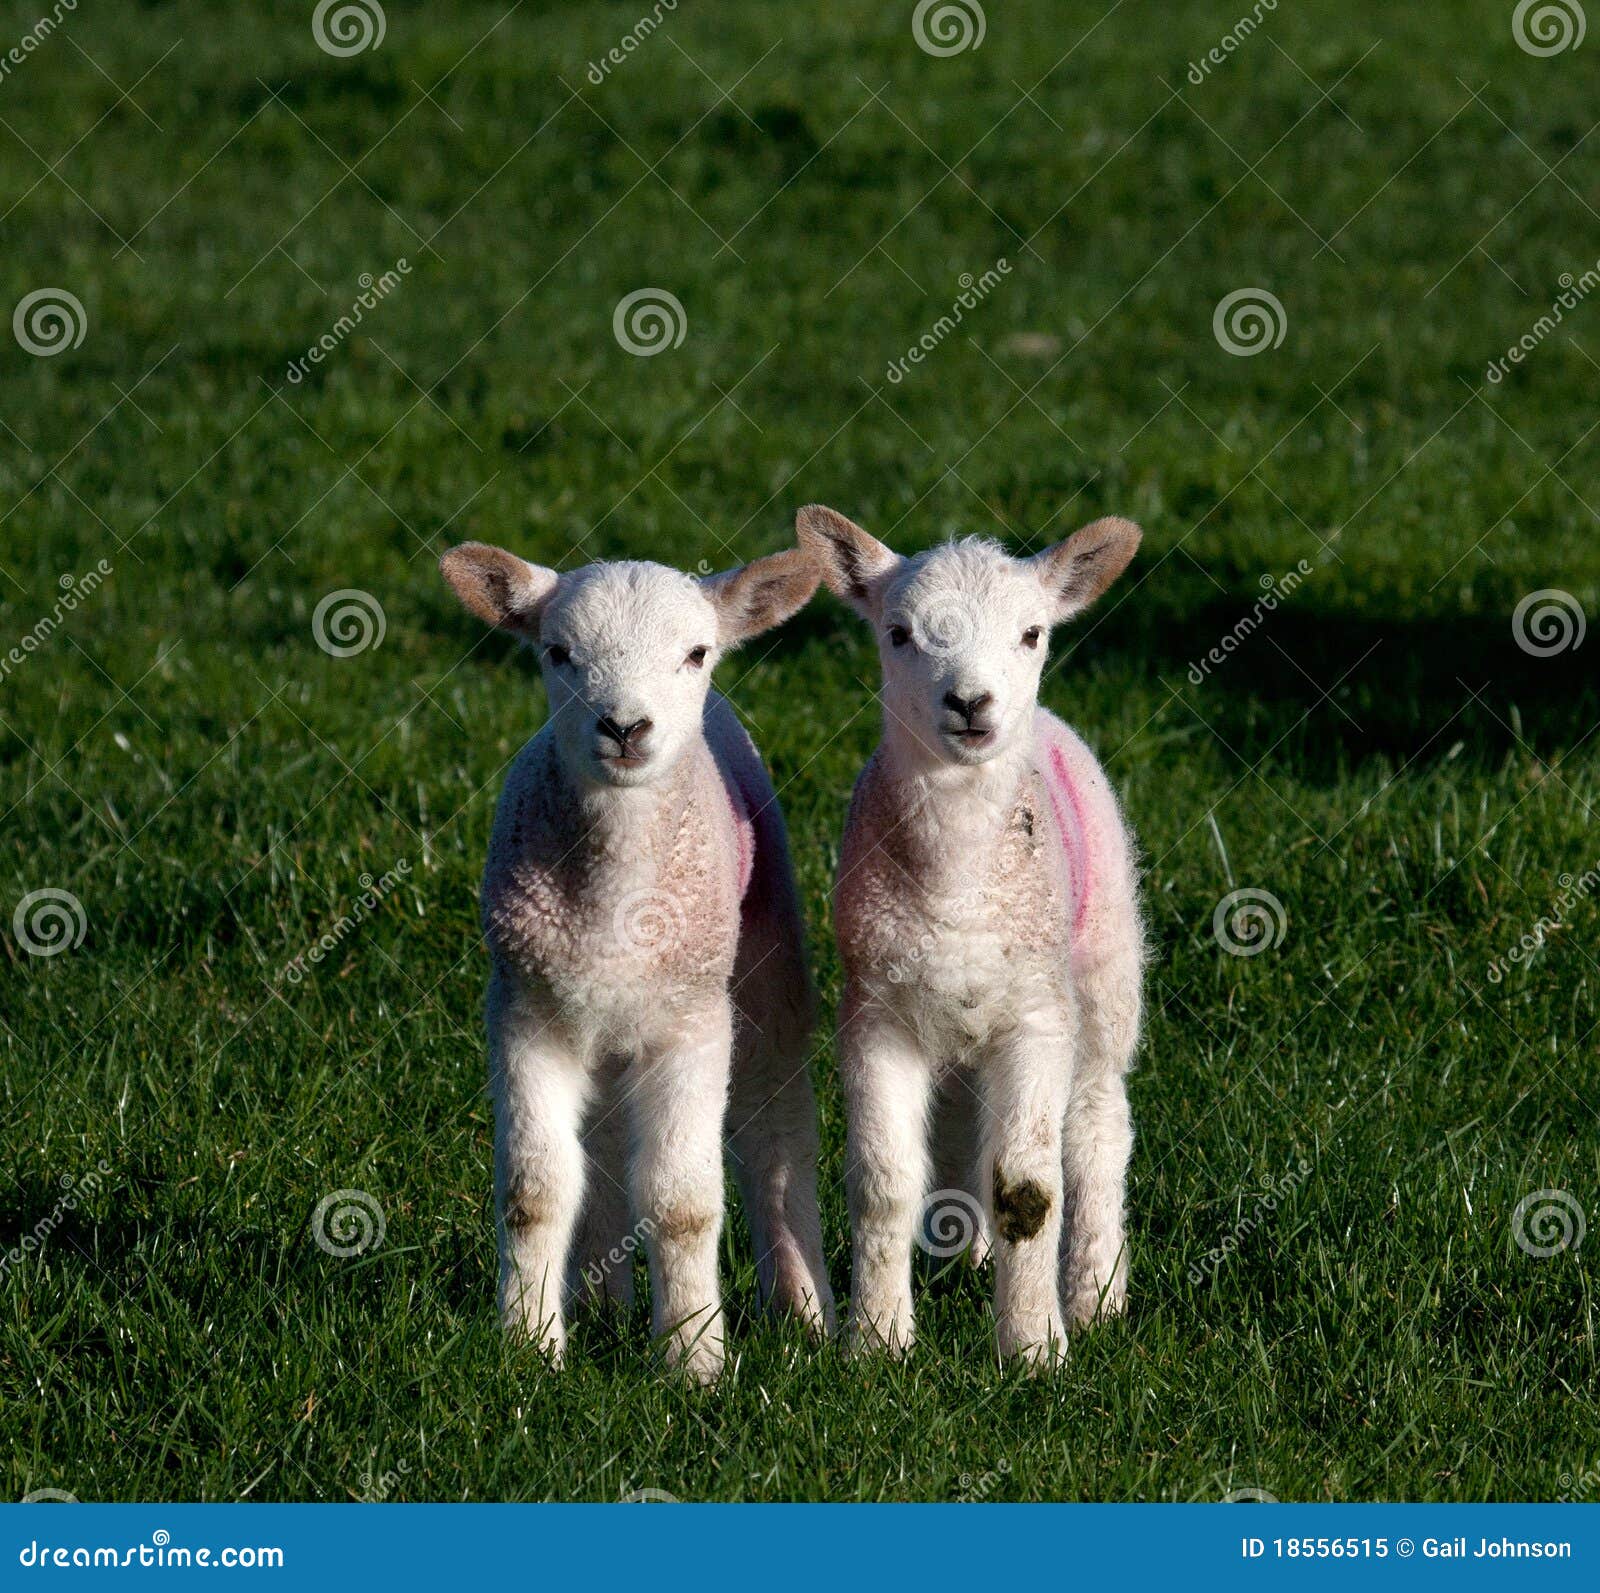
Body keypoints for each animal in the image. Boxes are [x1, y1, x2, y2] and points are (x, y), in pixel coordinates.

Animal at [439, 542, 836, 1382]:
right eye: (557, 652)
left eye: (696, 653)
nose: (624, 725)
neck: (615, 906)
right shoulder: (525, 1013)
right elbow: (536, 1190)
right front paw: (528, 1347)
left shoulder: (691, 1022)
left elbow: (683, 1202)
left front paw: (693, 1357)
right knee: (603, 1146)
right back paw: (602, 1303)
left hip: (766, 957)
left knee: (775, 1130)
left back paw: (802, 1308)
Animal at [796, 504, 1145, 1366]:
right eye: (898, 633)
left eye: (1031, 633)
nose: (971, 702)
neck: (956, 876)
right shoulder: (877, 1014)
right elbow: (884, 1179)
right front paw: (877, 1341)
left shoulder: (1038, 1018)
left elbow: (1028, 1186)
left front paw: (1033, 1348)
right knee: (961, 1119)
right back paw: (966, 1253)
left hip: (1104, 971)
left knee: (1097, 1126)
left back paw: (1097, 1294)